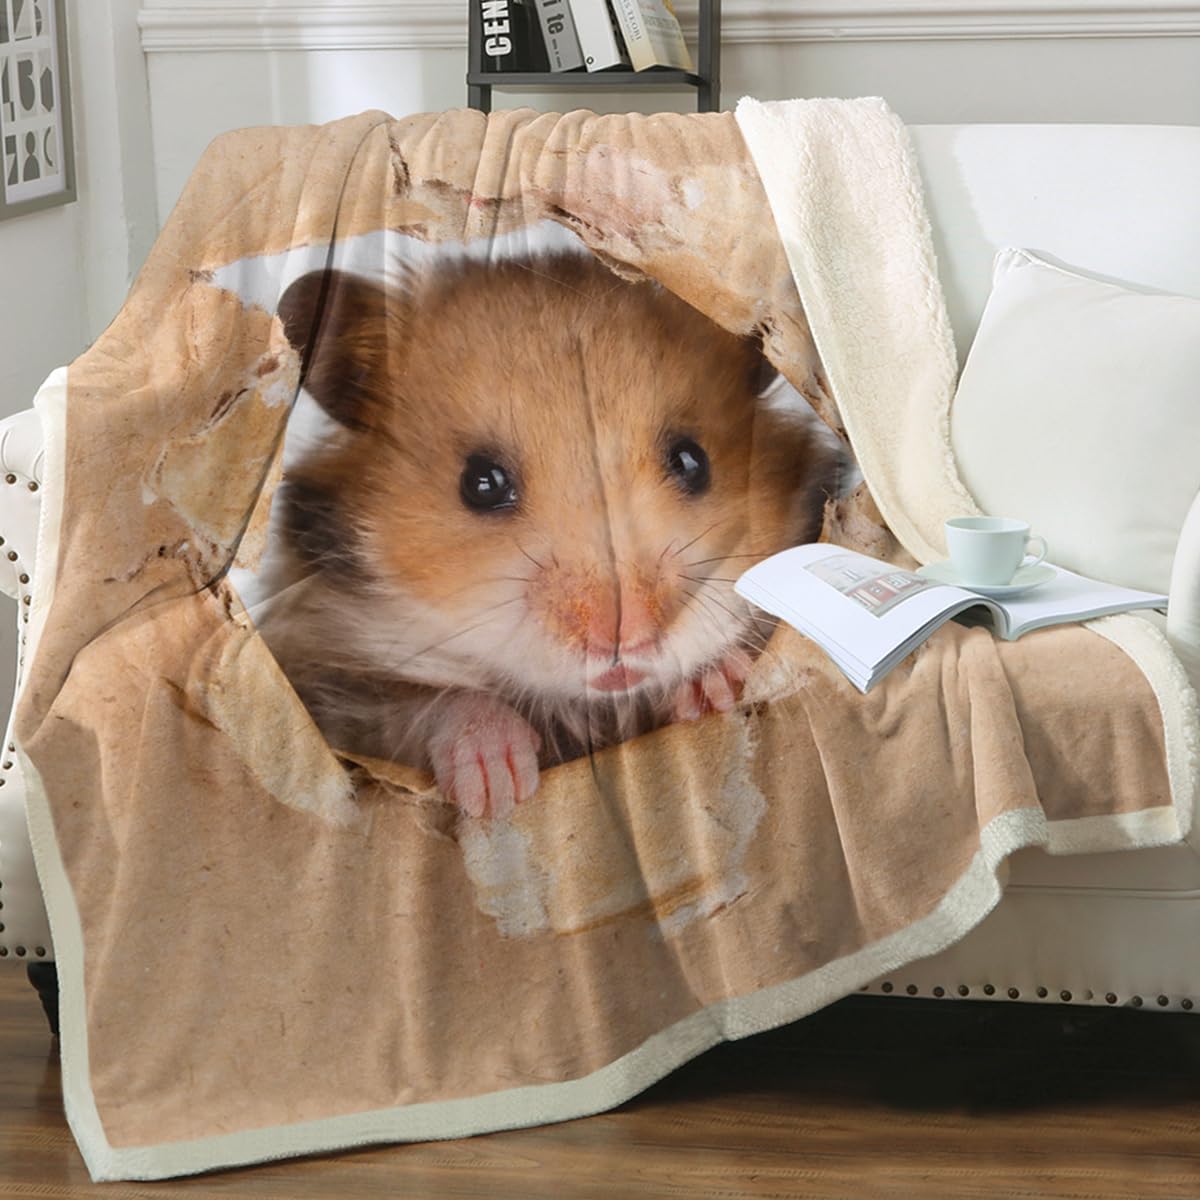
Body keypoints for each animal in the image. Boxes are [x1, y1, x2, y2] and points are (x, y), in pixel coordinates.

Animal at [260, 250, 840, 818]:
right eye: (481, 482)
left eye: (692, 461)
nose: (626, 643)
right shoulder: (327, 686)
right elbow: (432, 703)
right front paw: (497, 788)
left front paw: (713, 684)